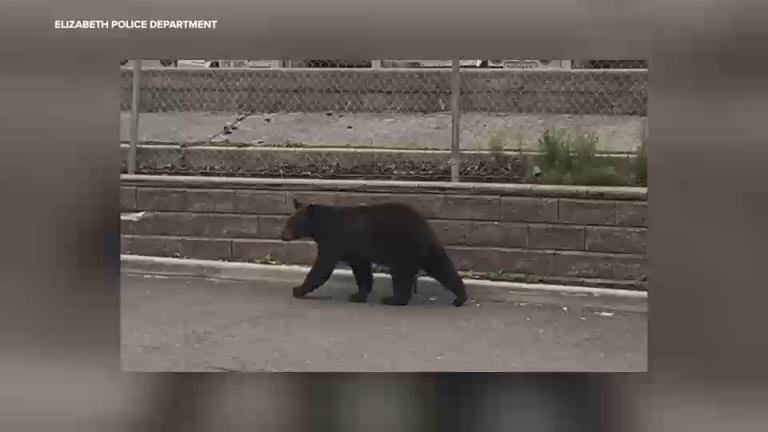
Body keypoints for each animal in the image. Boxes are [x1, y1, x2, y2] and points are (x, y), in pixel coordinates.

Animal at [280, 199, 468, 307]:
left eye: (290, 222)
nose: (282, 235)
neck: (321, 227)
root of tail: (424, 223)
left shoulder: (335, 241)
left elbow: (322, 267)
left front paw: (297, 289)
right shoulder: (355, 251)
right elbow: (361, 270)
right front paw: (358, 295)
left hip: (403, 247)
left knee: (402, 274)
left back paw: (394, 300)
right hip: (425, 248)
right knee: (442, 266)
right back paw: (460, 297)